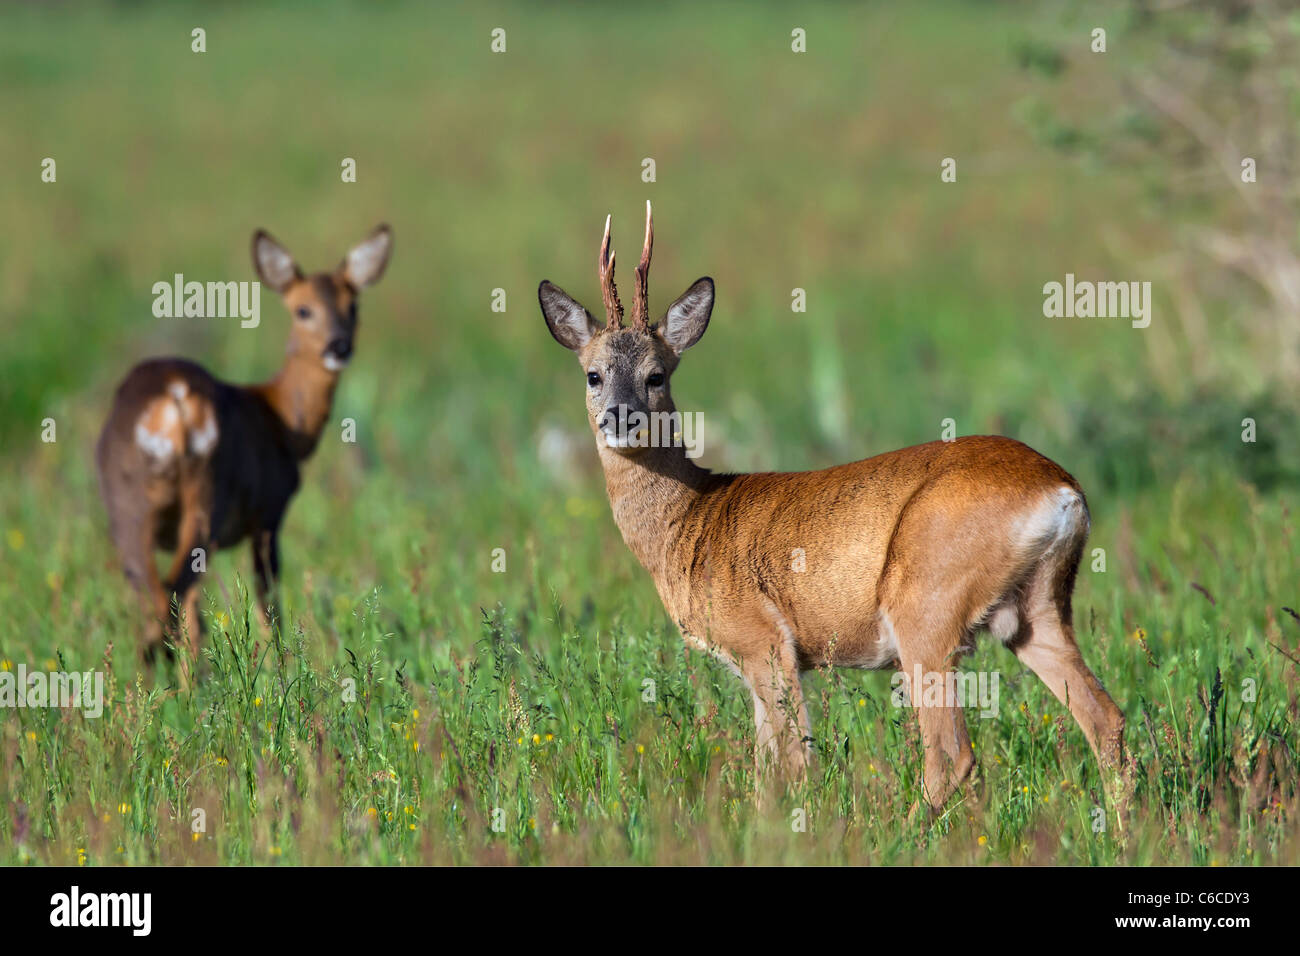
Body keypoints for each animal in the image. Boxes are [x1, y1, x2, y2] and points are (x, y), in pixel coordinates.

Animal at [96, 225, 393, 681]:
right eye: (302, 310)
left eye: (353, 305)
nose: (339, 346)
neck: (282, 419)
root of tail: (175, 401)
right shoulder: (270, 512)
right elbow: (270, 607)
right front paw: (284, 674)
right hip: (208, 501)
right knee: (172, 598)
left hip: (131, 505)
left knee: (162, 599)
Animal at [537, 202, 1126, 819]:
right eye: (593, 374)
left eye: (657, 374)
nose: (619, 416)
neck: (690, 521)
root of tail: (1062, 489)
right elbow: (766, 769)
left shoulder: (765, 641)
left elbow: (793, 766)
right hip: (1036, 610)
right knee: (1106, 720)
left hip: (925, 609)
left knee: (952, 755)